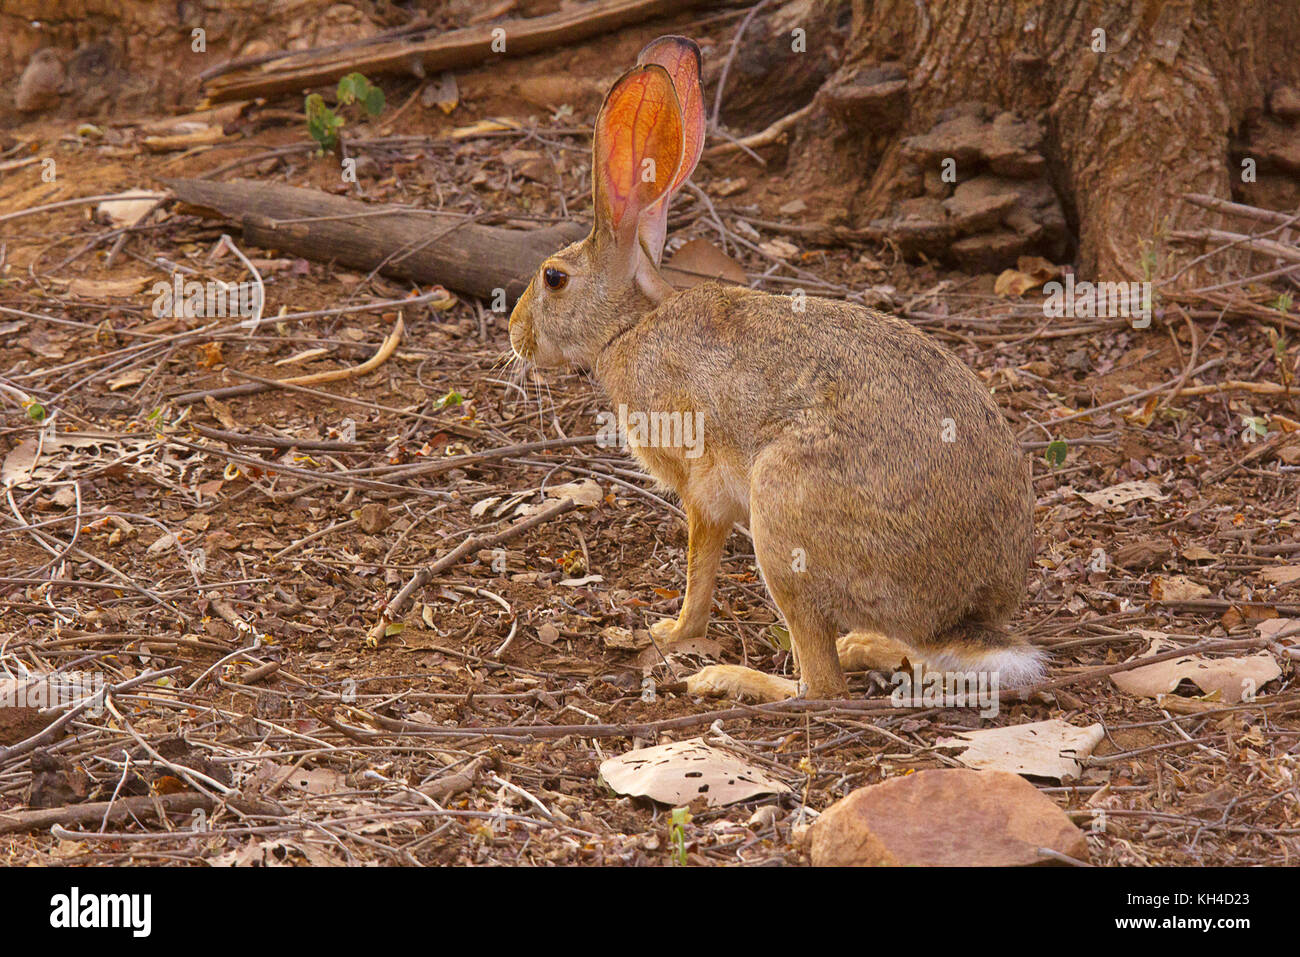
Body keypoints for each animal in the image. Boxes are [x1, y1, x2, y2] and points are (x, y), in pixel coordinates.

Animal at [508, 36, 1043, 699]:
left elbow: (700, 570)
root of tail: (963, 612)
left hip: (782, 516)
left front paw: (669, 633)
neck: (629, 326)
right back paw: (865, 646)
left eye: (553, 279)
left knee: (822, 685)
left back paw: (731, 678)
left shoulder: (701, 489)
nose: (515, 333)